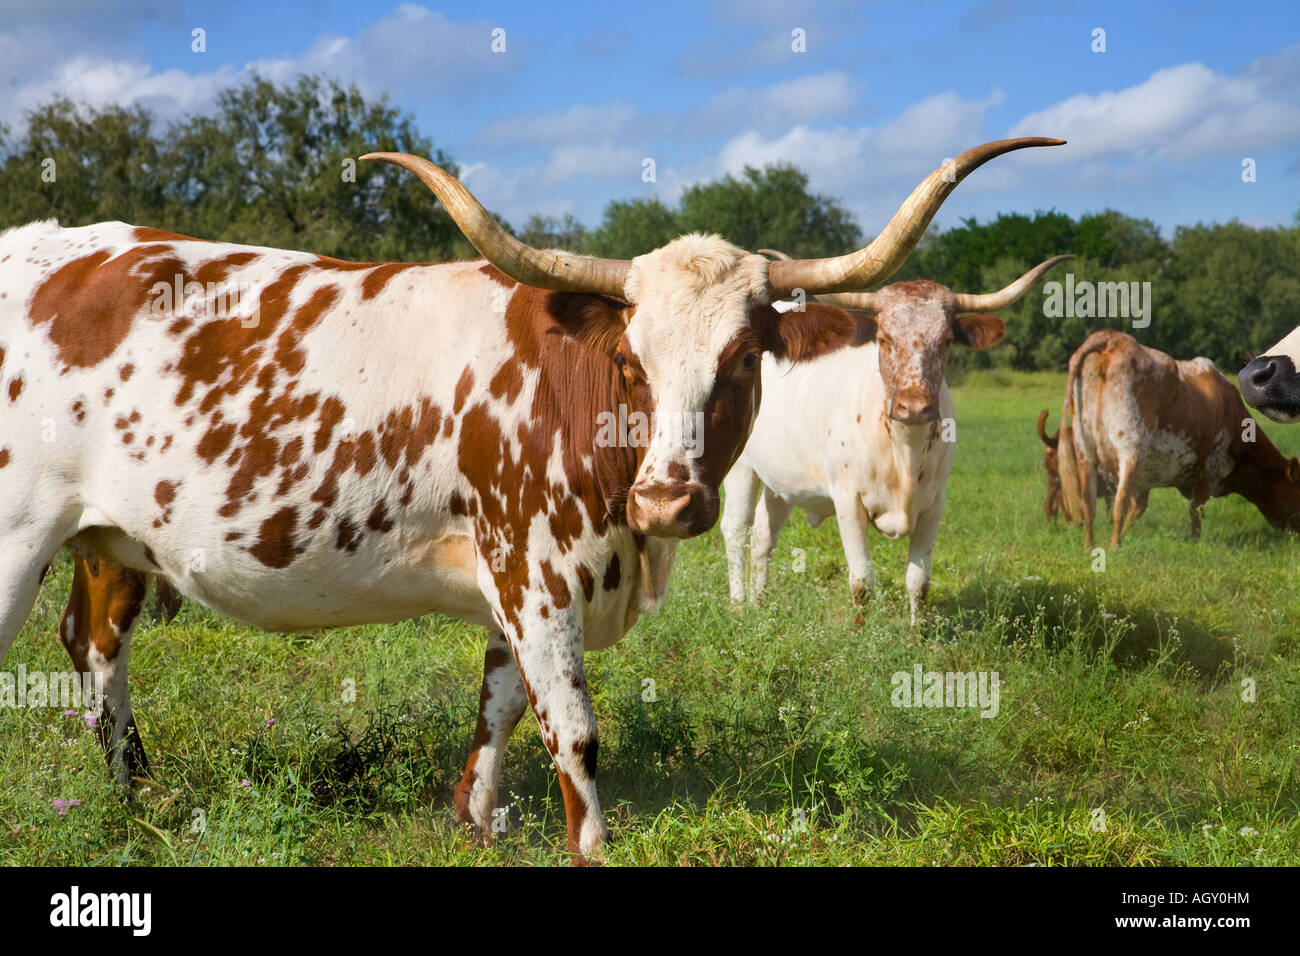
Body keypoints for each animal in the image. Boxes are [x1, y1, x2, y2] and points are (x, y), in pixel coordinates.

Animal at [722, 252, 1071, 624]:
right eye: (884, 338)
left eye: (946, 340)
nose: (914, 406)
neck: (905, 448)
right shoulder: (848, 499)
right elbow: (862, 579)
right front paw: (860, 632)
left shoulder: (934, 503)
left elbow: (919, 581)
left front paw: (917, 633)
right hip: (740, 468)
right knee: (736, 530)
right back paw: (739, 606)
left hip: (780, 481)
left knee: (763, 536)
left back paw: (760, 606)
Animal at [1057, 329, 1300, 550]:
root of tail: (1111, 337)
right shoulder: (1208, 470)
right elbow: (1195, 511)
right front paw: (1194, 543)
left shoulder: (1146, 478)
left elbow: (1138, 510)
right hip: (1129, 449)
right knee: (1120, 503)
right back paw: (1114, 546)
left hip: (1085, 451)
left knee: (1088, 503)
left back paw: (1089, 546)